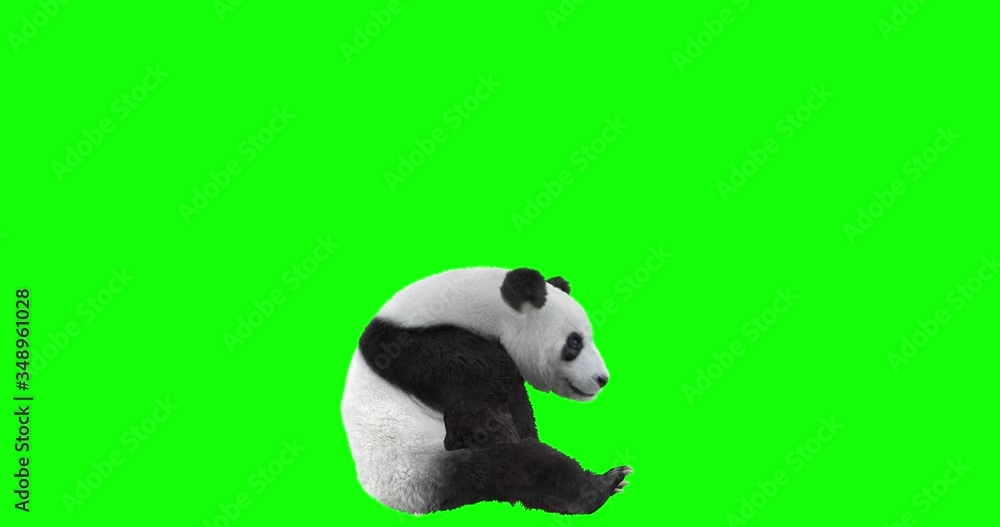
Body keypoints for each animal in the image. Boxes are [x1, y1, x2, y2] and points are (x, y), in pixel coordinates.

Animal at [340, 267, 631, 515]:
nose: (602, 379)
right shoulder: (411, 350)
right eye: (574, 342)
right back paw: (604, 484)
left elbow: (513, 400)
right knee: (519, 466)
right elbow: (484, 389)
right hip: (415, 465)